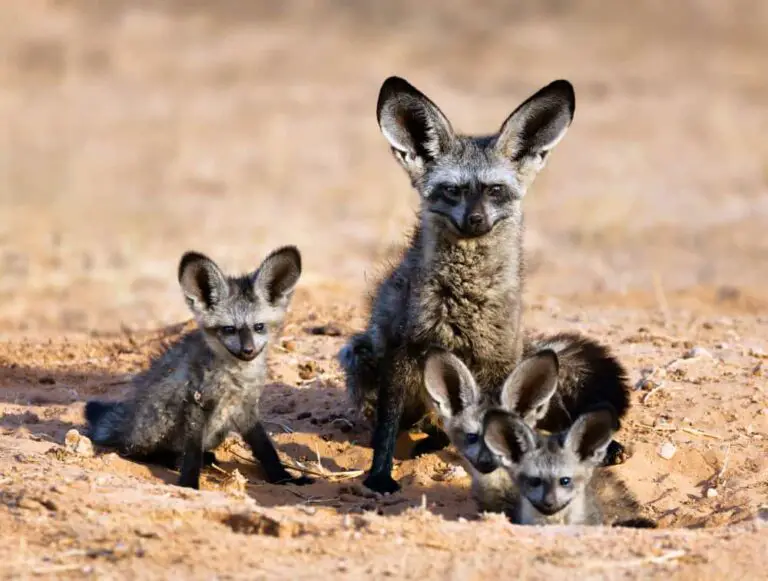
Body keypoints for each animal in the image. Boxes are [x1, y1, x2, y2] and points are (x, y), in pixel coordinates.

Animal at [85, 246, 312, 490]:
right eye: (229, 329)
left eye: (258, 327)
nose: (248, 350)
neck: (236, 379)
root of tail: (126, 422)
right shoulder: (196, 403)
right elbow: (192, 454)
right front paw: (189, 484)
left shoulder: (247, 408)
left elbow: (265, 449)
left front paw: (284, 478)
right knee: (135, 451)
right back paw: (172, 459)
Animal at [338, 75, 580, 494]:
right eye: (453, 190)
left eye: (495, 190)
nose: (475, 220)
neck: (467, 300)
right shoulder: (404, 349)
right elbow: (386, 429)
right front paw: (380, 475)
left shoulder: (501, 359)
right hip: (362, 356)